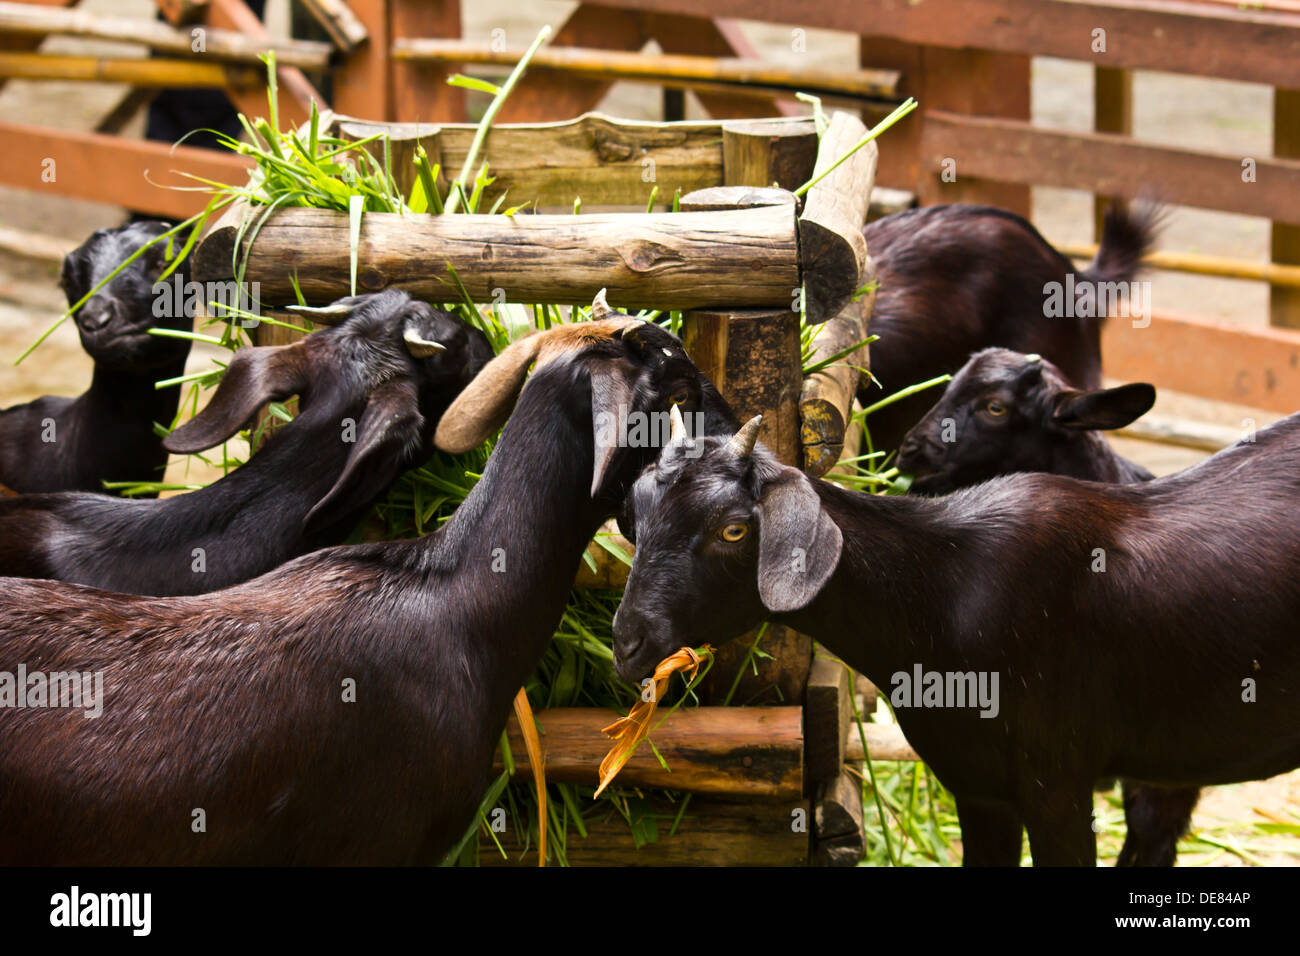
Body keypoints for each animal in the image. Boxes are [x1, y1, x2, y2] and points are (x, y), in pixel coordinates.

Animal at [612, 412, 1300, 866]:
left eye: (733, 530)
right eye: (638, 510)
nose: (626, 643)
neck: (943, 593)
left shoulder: (1058, 780)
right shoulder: (976, 786)